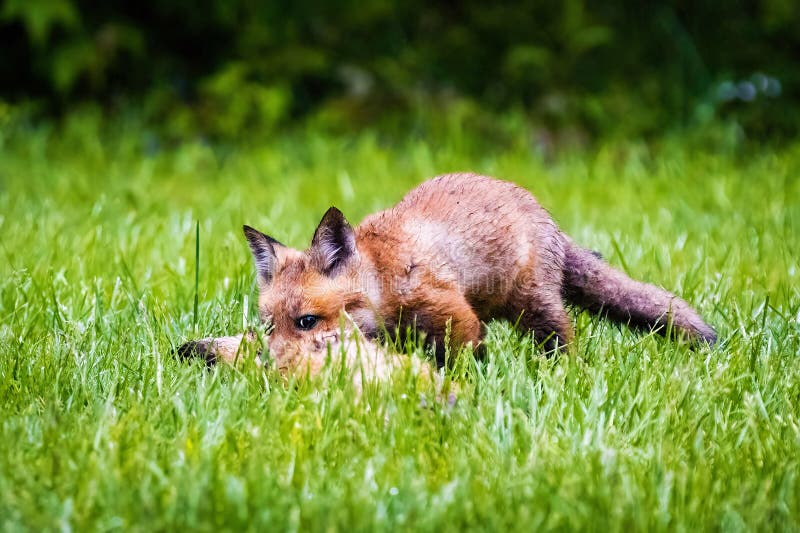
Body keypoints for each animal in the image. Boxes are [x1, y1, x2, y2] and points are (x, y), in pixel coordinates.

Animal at [178, 173, 717, 373]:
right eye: (270, 326)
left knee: (561, 339)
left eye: (308, 321)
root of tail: (544, 215)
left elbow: (462, 357)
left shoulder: (452, 312)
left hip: (534, 309)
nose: (272, 367)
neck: (384, 285)